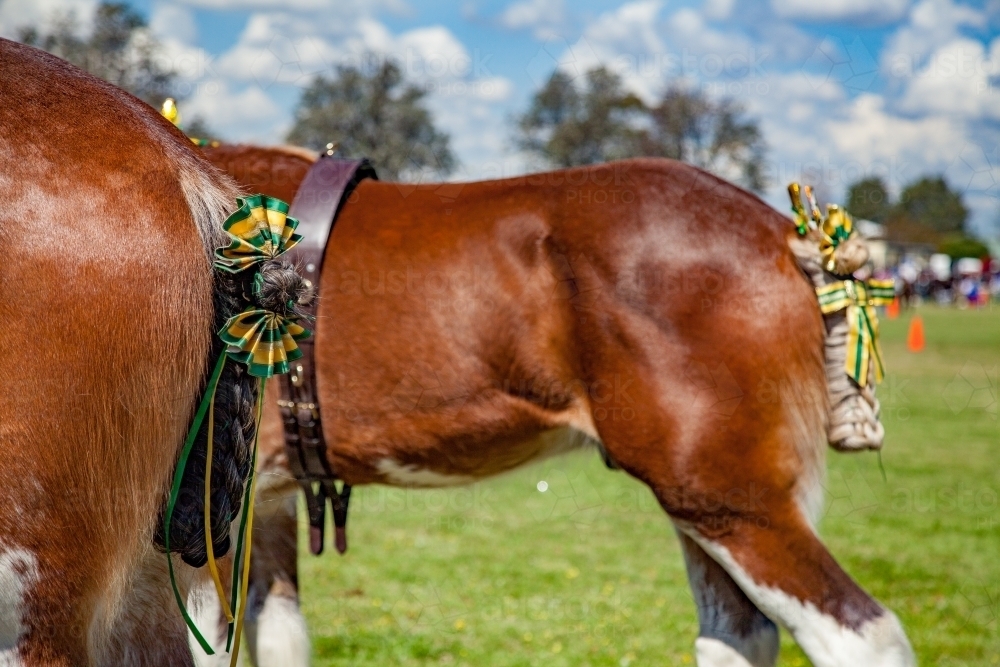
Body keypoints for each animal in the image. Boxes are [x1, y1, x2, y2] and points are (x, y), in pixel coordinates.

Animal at [200, 143, 917, 667]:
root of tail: (786, 234)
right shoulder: (267, 502)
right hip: (709, 500)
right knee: (738, 635)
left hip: (728, 495)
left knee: (864, 637)